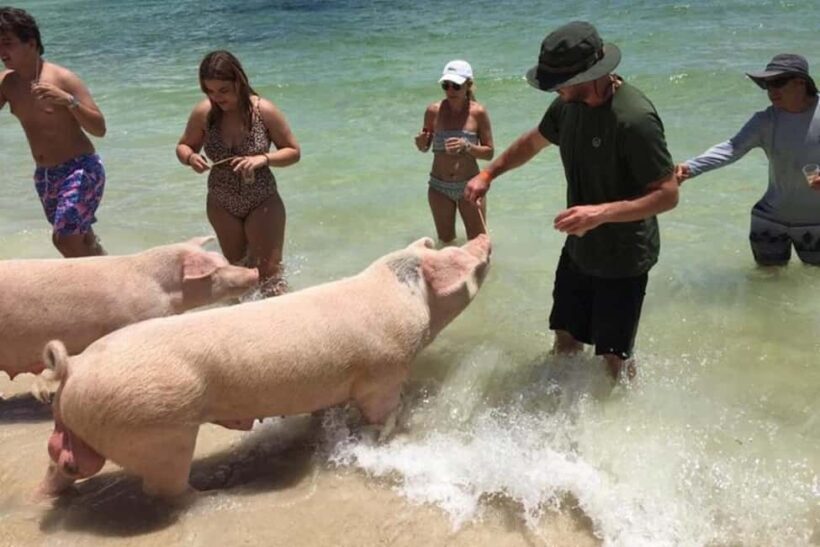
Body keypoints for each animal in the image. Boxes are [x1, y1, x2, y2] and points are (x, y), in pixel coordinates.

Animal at [38, 235, 491, 499]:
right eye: (452, 255)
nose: (484, 237)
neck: (406, 300)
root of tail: (73, 369)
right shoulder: (383, 372)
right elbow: (385, 413)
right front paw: (386, 436)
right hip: (157, 431)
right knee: (164, 490)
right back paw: (210, 493)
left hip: (80, 431)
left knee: (63, 464)